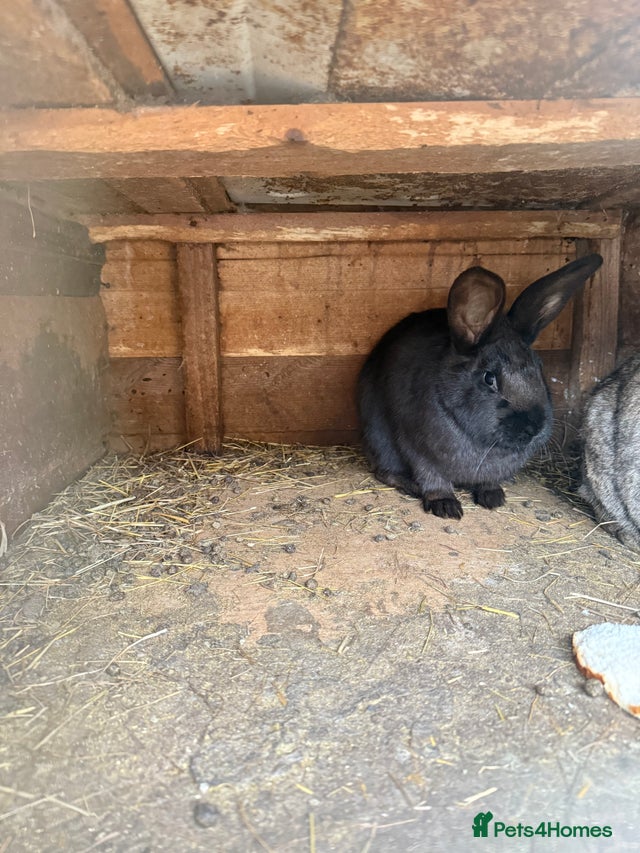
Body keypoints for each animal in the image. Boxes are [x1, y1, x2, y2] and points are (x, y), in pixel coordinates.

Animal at [357, 252, 603, 519]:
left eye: (540, 368)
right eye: (489, 378)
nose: (534, 427)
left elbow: (488, 482)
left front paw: (493, 498)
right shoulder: (418, 452)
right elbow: (433, 479)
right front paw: (446, 506)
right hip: (379, 439)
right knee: (386, 471)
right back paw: (411, 486)